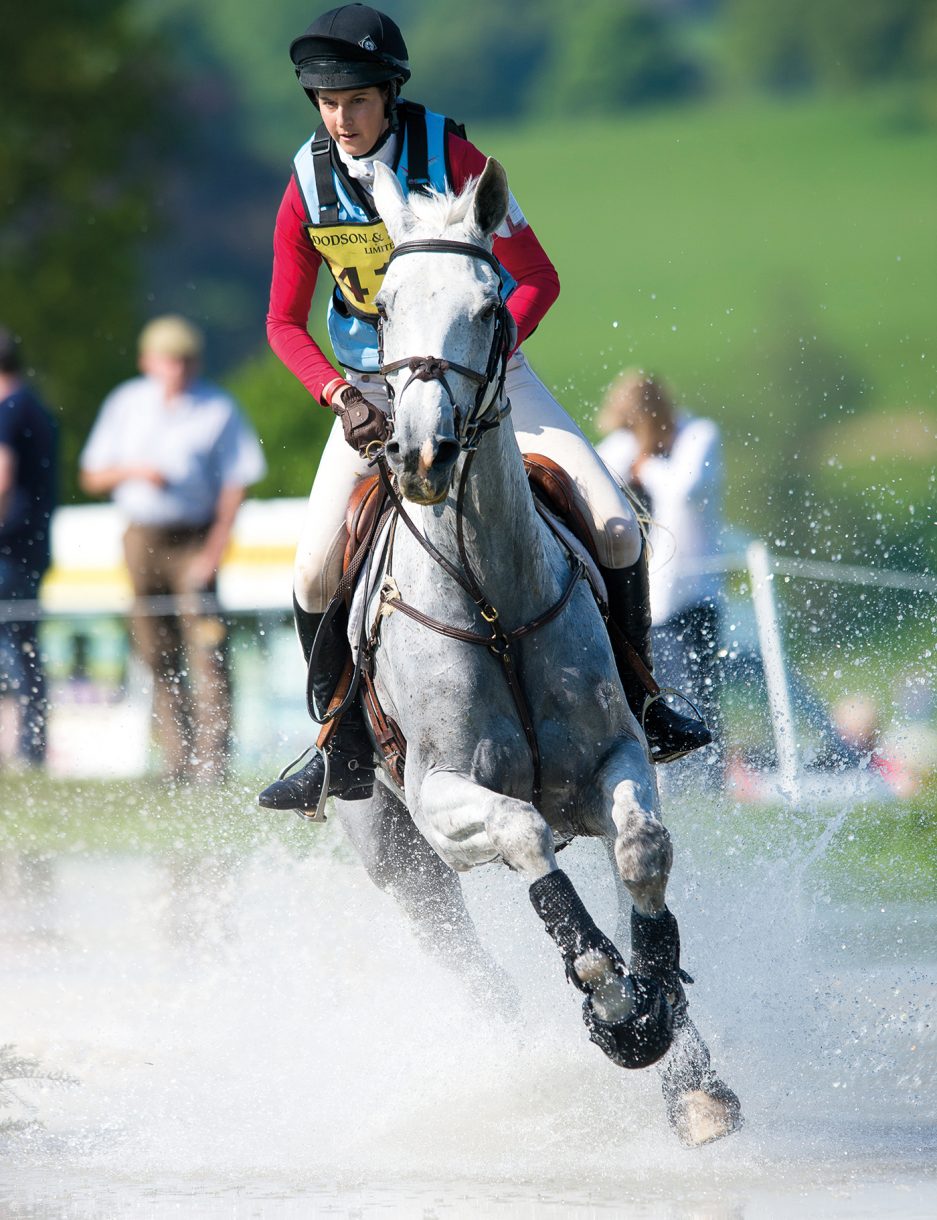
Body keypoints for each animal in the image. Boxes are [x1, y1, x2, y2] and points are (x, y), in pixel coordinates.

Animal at [326, 157, 741, 1147]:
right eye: (382, 307)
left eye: (489, 306)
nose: (419, 455)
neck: (489, 599)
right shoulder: (442, 798)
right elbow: (524, 839)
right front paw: (612, 1003)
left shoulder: (616, 757)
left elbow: (642, 854)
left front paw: (669, 1044)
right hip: (396, 856)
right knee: (468, 962)